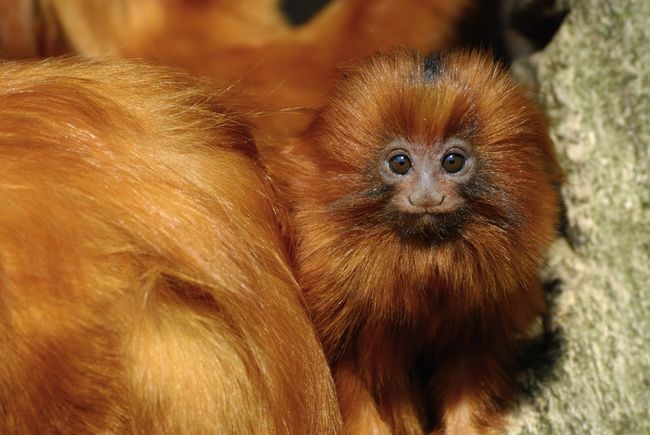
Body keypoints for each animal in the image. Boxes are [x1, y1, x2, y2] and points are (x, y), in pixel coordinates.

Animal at [276, 50, 563, 434]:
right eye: (400, 163)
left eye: (453, 161)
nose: (427, 195)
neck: (424, 260)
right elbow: (347, 379)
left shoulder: (486, 309)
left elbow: (470, 371)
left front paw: (465, 426)